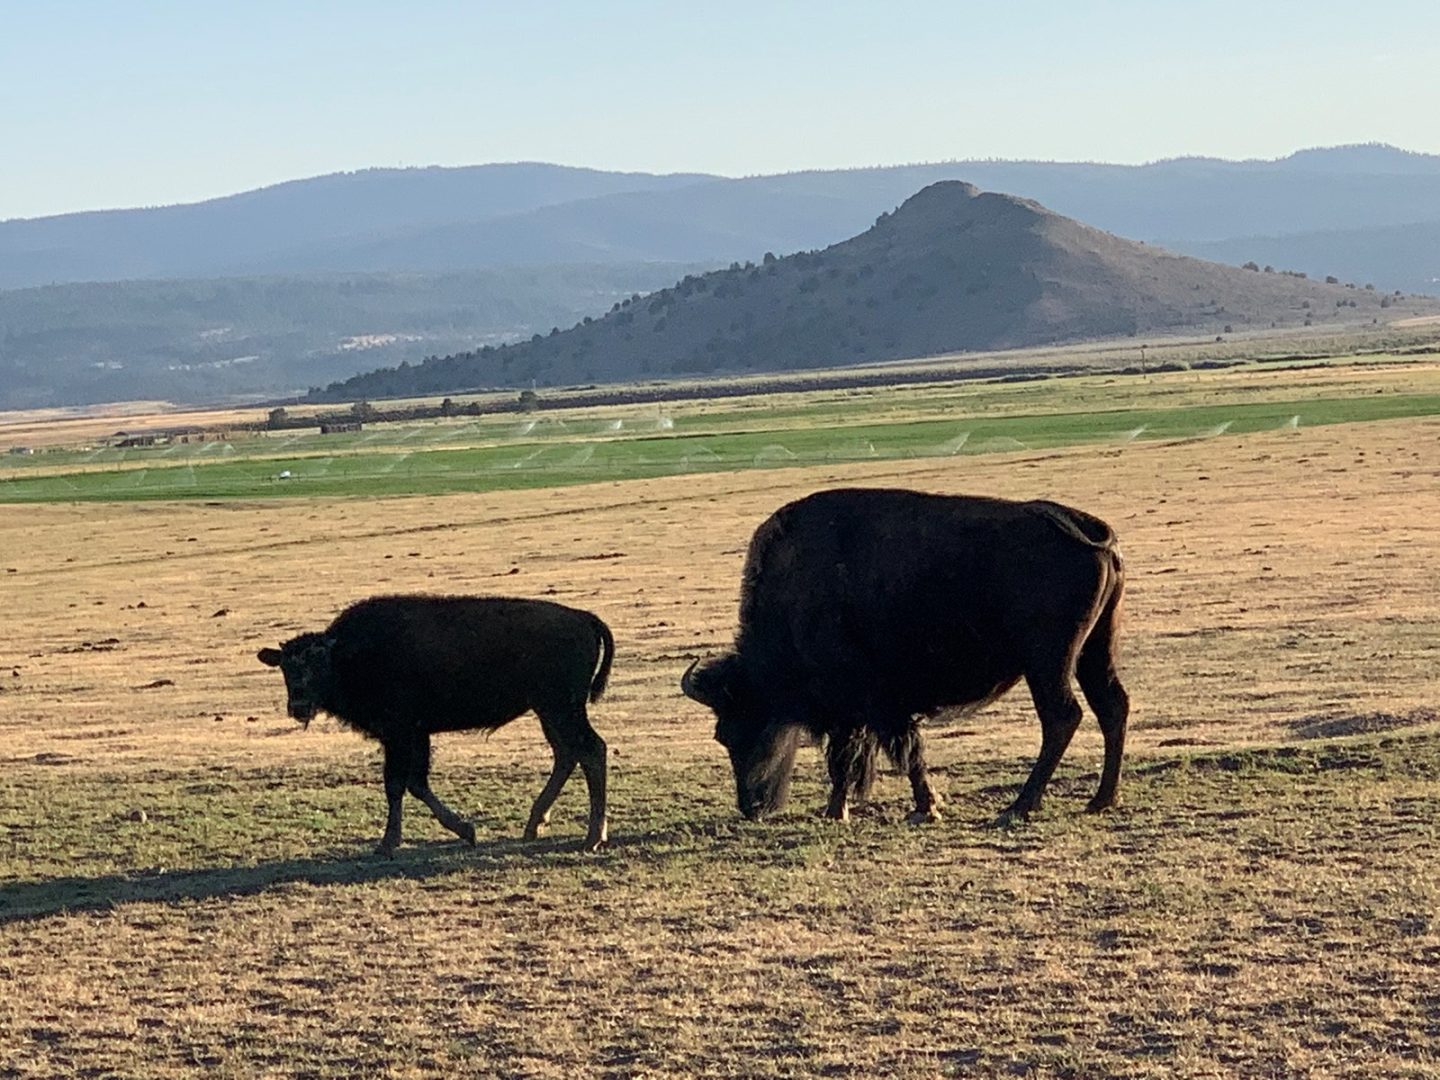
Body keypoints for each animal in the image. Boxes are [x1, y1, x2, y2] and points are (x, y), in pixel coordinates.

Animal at [257, 594, 614, 856]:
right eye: (286, 667)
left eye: (319, 662)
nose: (299, 706)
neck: (350, 654)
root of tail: (583, 617)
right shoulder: (415, 735)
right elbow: (416, 783)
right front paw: (466, 830)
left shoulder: (399, 734)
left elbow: (396, 783)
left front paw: (387, 843)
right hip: (548, 712)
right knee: (567, 755)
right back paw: (535, 825)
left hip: (560, 709)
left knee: (591, 750)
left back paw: (592, 836)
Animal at [680, 488, 1129, 826]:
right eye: (723, 736)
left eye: (749, 725)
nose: (752, 806)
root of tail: (1085, 526)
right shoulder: (863, 709)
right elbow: (860, 757)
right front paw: (841, 810)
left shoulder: (871, 704)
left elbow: (886, 754)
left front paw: (921, 808)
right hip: (1092, 651)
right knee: (1111, 706)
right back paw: (1100, 800)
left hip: (1047, 662)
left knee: (1061, 717)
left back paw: (1017, 807)